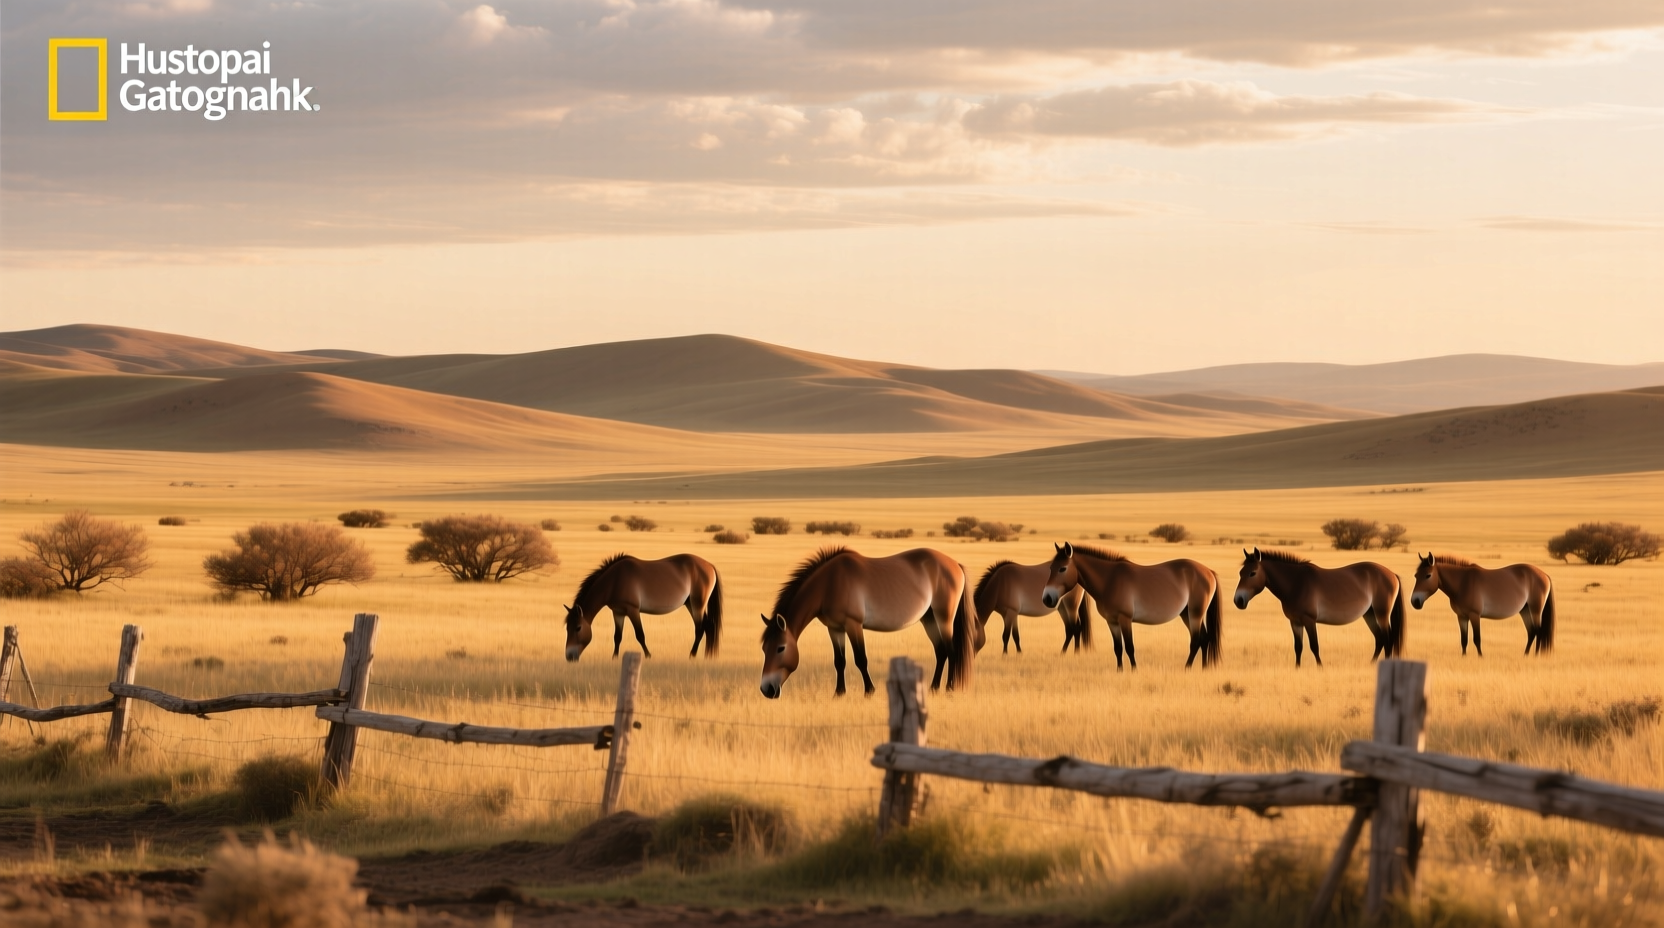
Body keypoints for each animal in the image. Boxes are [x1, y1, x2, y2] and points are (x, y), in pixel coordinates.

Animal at [563, 553, 722, 661]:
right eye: (567, 628)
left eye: (578, 628)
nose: (569, 656)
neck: (614, 581)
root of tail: (709, 565)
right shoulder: (618, 612)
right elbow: (617, 636)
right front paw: (614, 657)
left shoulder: (633, 610)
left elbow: (640, 635)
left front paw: (648, 655)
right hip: (690, 604)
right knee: (709, 626)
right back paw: (707, 655)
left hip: (697, 605)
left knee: (700, 628)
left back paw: (692, 655)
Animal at [759, 547, 976, 698]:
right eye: (764, 648)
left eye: (780, 648)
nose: (766, 690)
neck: (829, 583)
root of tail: (955, 564)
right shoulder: (834, 629)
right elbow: (839, 661)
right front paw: (839, 693)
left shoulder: (853, 625)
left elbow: (860, 659)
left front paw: (869, 691)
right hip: (928, 618)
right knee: (940, 651)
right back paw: (933, 688)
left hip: (944, 618)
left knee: (951, 651)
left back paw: (949, 688)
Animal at [1045, 542, 1220, 669]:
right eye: (1051, 568)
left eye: (1062, 568)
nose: (1047, 598)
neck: (1109, 580)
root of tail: (1209, 571)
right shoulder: (1112, 622)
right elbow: (1118, 648)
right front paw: (1120, 671)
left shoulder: (1125, 619)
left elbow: (1129, 647)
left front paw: (1134, 670)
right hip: (1186, 614)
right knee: (1205, 638)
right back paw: (1204, 668)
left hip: (1195, 613)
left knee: (1197, 640)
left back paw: (1187, 668)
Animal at [1233, 548, 1404, 667]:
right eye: (1241, 572)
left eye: (1252, 573)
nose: (1238, 600)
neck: (1296, 583)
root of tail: (1392, 574)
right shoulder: (1295, 622)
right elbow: (1298, 647)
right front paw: (1297, 668)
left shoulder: (1309, 621)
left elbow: (1314, 646)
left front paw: (1320, 667)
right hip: (1369, 614)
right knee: (1380, 639)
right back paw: (1372, 663)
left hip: (1381, 614)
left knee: (1388, 638)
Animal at [1411, 553, 1555, 656]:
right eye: (1416, 575)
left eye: (1428, 575)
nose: (1415, 602)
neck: (1463, 583)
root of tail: (1545, 575)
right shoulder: (1461, 617)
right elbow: (1464, 640)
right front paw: (1464, 657)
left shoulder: (1474, 615)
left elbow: (1477, 639)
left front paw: (1481, 657)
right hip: (1524, 610)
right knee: (1532, 632)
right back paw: (1525, 655)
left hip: (1535, 610)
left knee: (1538, 631)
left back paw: (1535, 655)